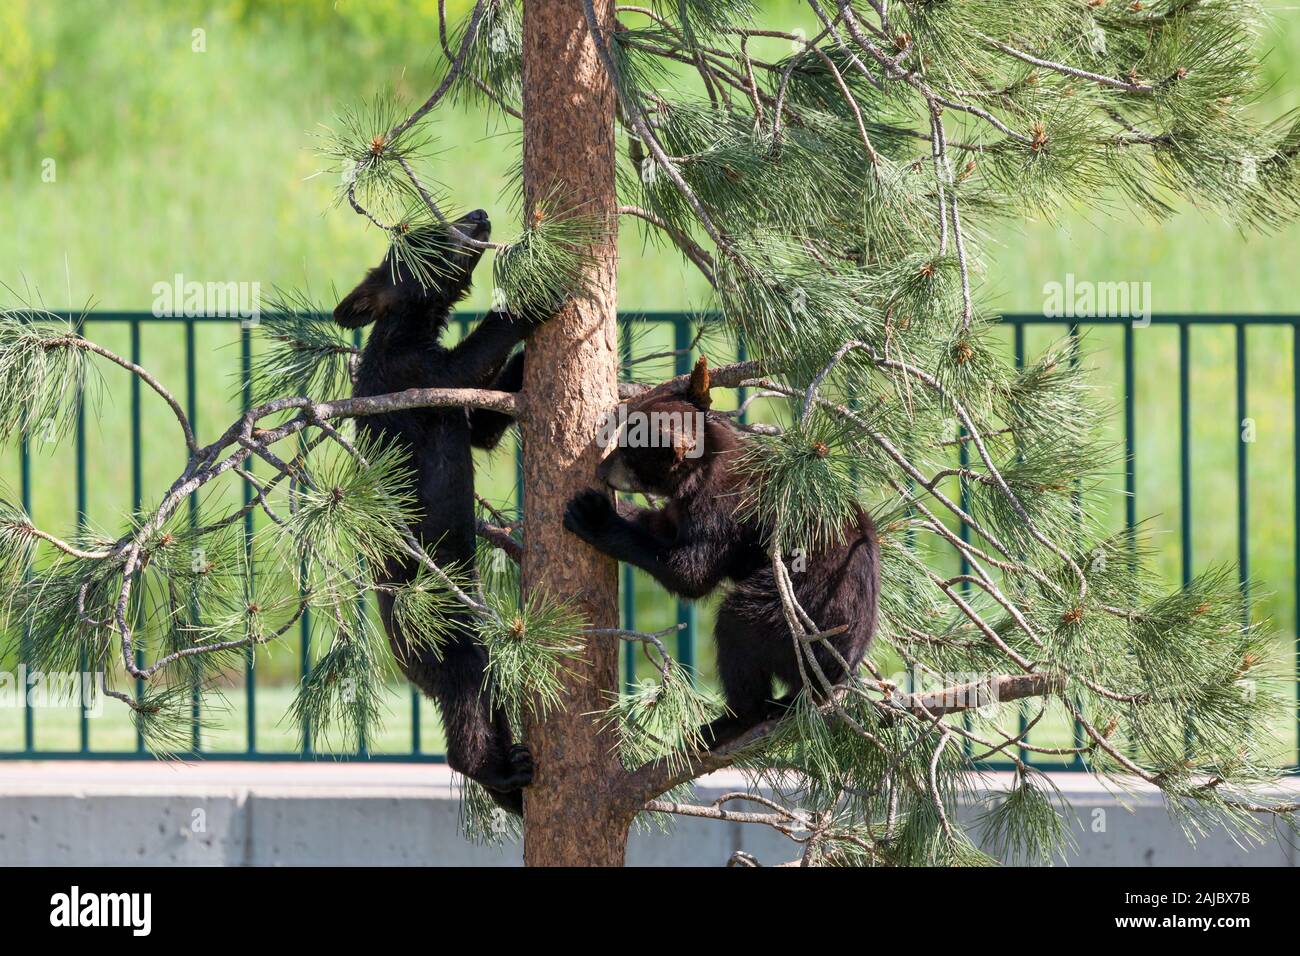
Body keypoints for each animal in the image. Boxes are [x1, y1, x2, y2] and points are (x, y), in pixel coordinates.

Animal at [335, 209, 540, 814]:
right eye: (426, 233)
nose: (480, 215)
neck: (405, 330)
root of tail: (402, 665)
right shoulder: (416, 376)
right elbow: (471, 358)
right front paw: (538, 287)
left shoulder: (459, 410)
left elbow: (485, 423)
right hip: (446, 643)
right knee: (463, 722)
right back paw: (499, 772)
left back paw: (512, 781)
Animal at [562, 358, 880, 748]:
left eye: (628, 450)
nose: (601, 470)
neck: (700, 471)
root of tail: (840, 670)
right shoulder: (683, 508)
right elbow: (661, 527)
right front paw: (620, 509)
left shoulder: (722, 510)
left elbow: (690, 571)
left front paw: (592, 515)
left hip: (801, 606)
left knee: (738, 625)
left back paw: (730, 721)